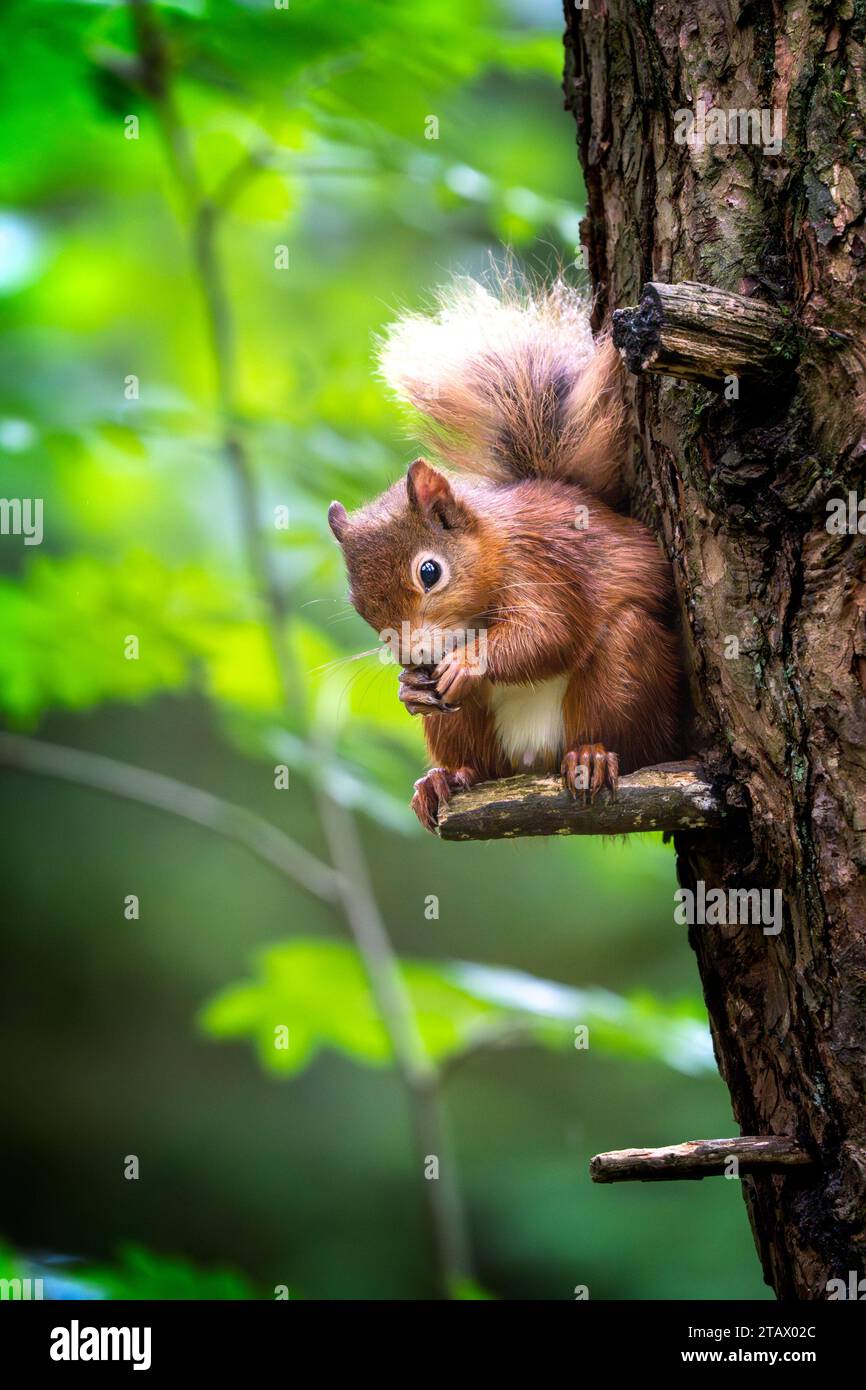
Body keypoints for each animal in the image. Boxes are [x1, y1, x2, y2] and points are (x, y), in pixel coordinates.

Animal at [328, 276, 683, 832]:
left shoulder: (544, 566)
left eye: (429, 571)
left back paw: (593, 756)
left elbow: (551, 632)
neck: (493, 547)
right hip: (468, 733)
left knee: (626, 731)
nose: (412, 657)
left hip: (628, 669)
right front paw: (410, 688)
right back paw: (444, 779)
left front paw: (469, 663)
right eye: (357, 603)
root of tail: (535, 756)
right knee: (480, 765)